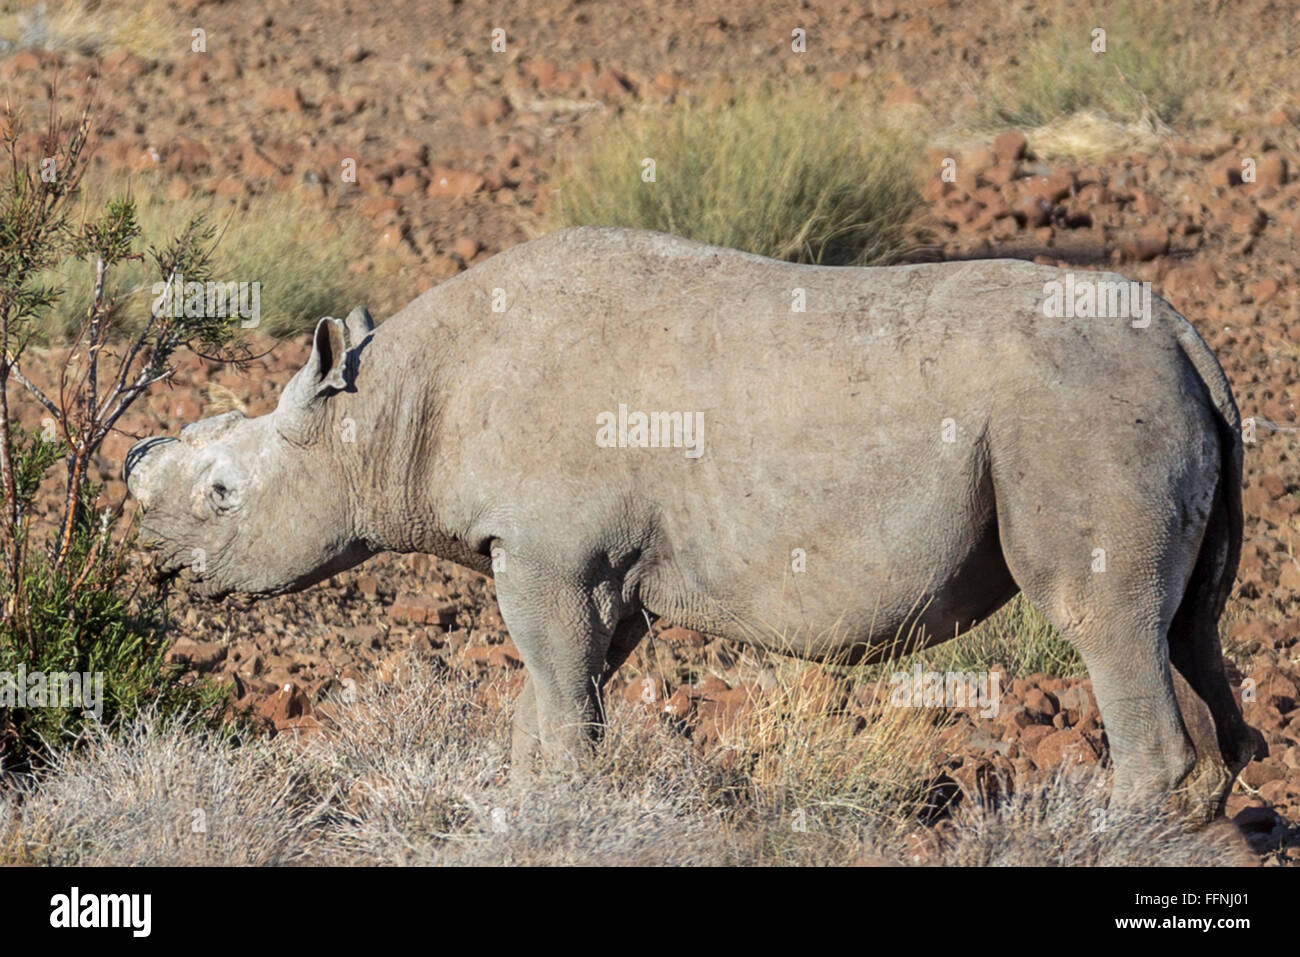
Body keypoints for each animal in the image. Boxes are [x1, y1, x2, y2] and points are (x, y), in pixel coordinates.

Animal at [125, 227, 1258, 823]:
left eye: (221, 494)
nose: (156, 553)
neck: (382, 412)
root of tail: (1182, 336)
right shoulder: (595, 567)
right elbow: (551, 698)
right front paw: (530, 808)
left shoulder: (547, 556)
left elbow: (557, 695)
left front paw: (563, 813)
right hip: (1137, 399)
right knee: (1187, 636)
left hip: (1078, 412)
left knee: (1102, 620)